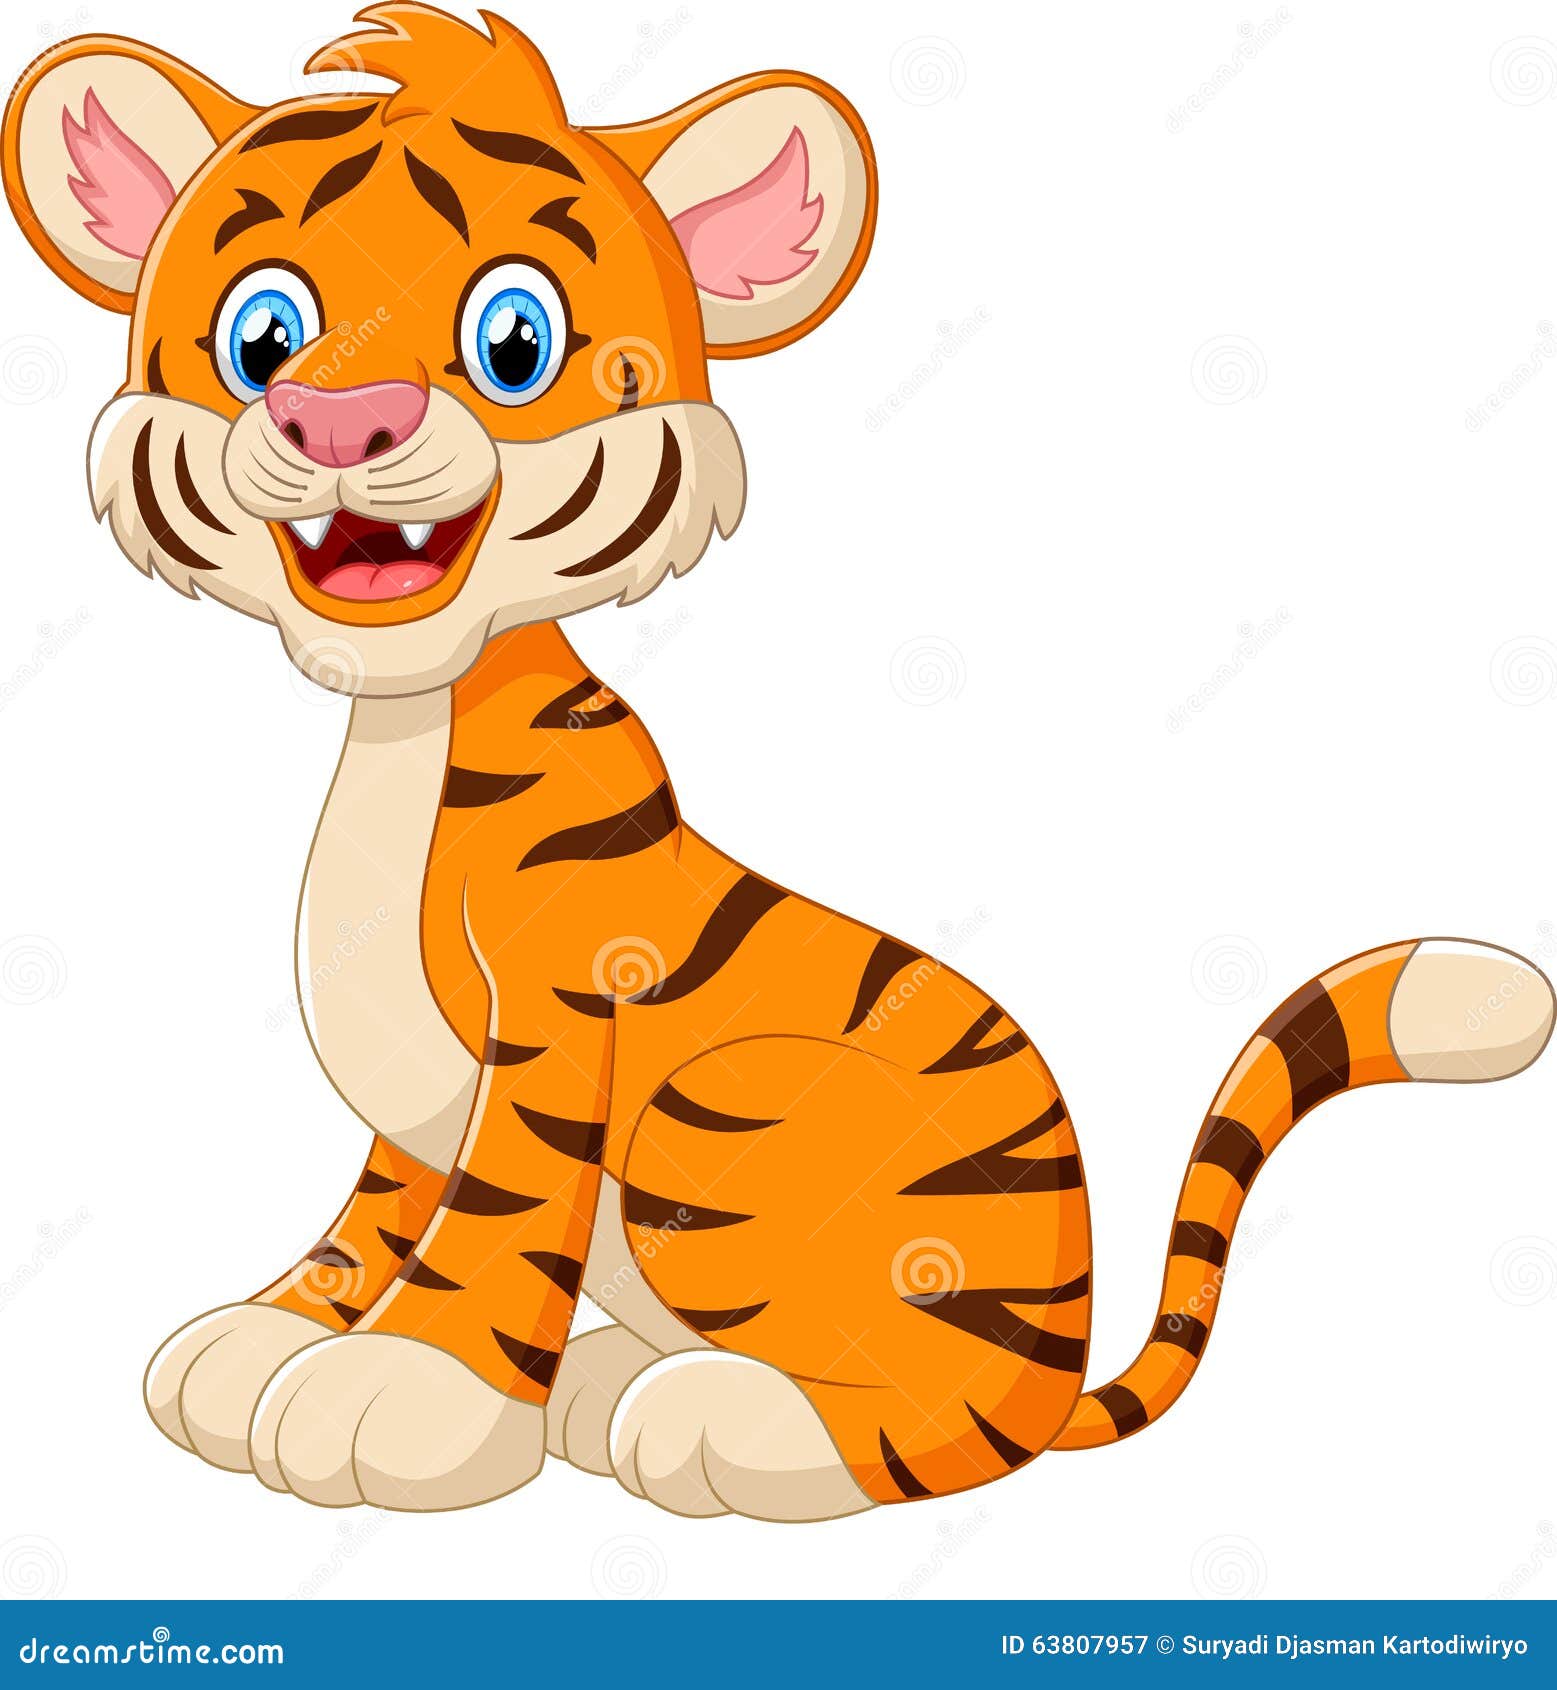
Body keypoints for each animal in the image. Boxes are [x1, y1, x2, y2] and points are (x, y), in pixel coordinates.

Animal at [4, 4, 1552, 1520]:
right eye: (262, 333)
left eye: (515, 339)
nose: (336, 419)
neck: (411, 719)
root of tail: (1065, 1358)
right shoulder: (412, 1066)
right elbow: (380, 1207)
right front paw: (267, 1335)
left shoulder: (560, 1011)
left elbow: (496, 1215)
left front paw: (401, 1396)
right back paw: (609, 1382)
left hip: (723, 1111)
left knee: (939, 1432)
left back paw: (707, 1418)